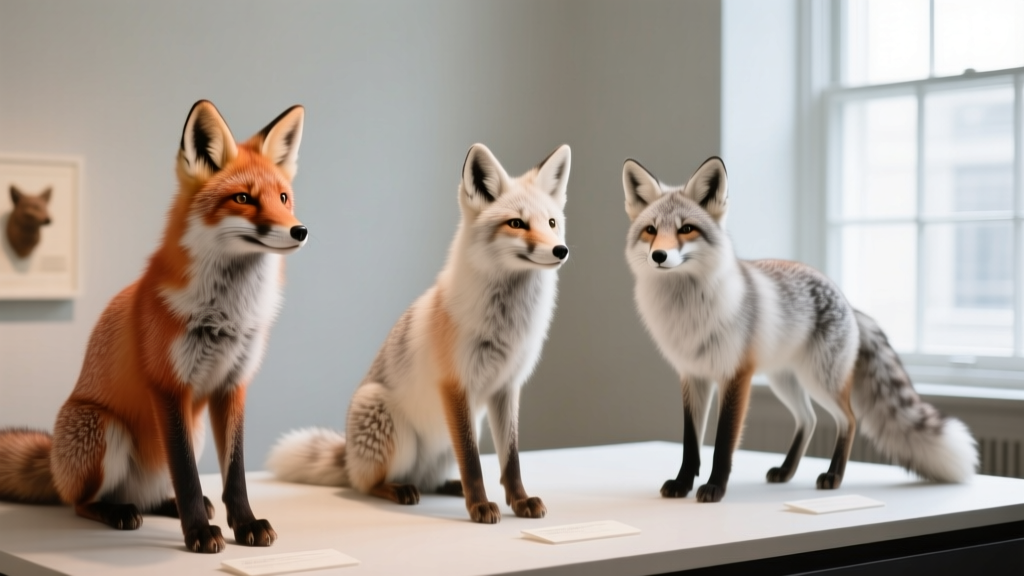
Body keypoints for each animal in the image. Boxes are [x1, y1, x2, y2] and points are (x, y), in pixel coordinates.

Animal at [0, 100, 308, 553]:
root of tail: (55, 466)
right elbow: (186, 472)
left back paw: (166, 505)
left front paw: (245, 524)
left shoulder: (233, 385)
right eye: (243, 198)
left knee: (158, 493)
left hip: (194, 431)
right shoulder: (167, 385)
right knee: (82, 502)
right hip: (103, 429)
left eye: (284, 198)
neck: (225, 315)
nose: (299, 230)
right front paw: (199, 532)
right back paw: (119, 512)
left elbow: (234, 475)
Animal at [268, 143, 571, 524]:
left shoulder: (506, 387)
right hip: (390, 427)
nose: (561, 250)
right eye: (516, 223)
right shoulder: (455, 385)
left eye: (552, 223)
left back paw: (447, 486)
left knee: (430, 479)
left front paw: (519, 501)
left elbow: (511, 461)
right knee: (368, 484)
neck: (506, 323)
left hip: (448, 443)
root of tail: (348, 456)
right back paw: (398, 490)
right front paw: (479, 506)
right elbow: (472, 462)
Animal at [621, 156, 977, 503]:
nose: (659, 255)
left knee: (848, 419)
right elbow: (690, 442)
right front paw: (683, 483)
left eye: (687, 229)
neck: (686, 310)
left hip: (821, 380)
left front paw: (715, 488)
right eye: (651, 230)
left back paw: (833, 476)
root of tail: (846, 299)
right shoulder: (693, 376)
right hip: (785, 381)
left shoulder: (736, 374)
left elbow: (723, 443)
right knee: (809, 419)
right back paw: (786, 471)